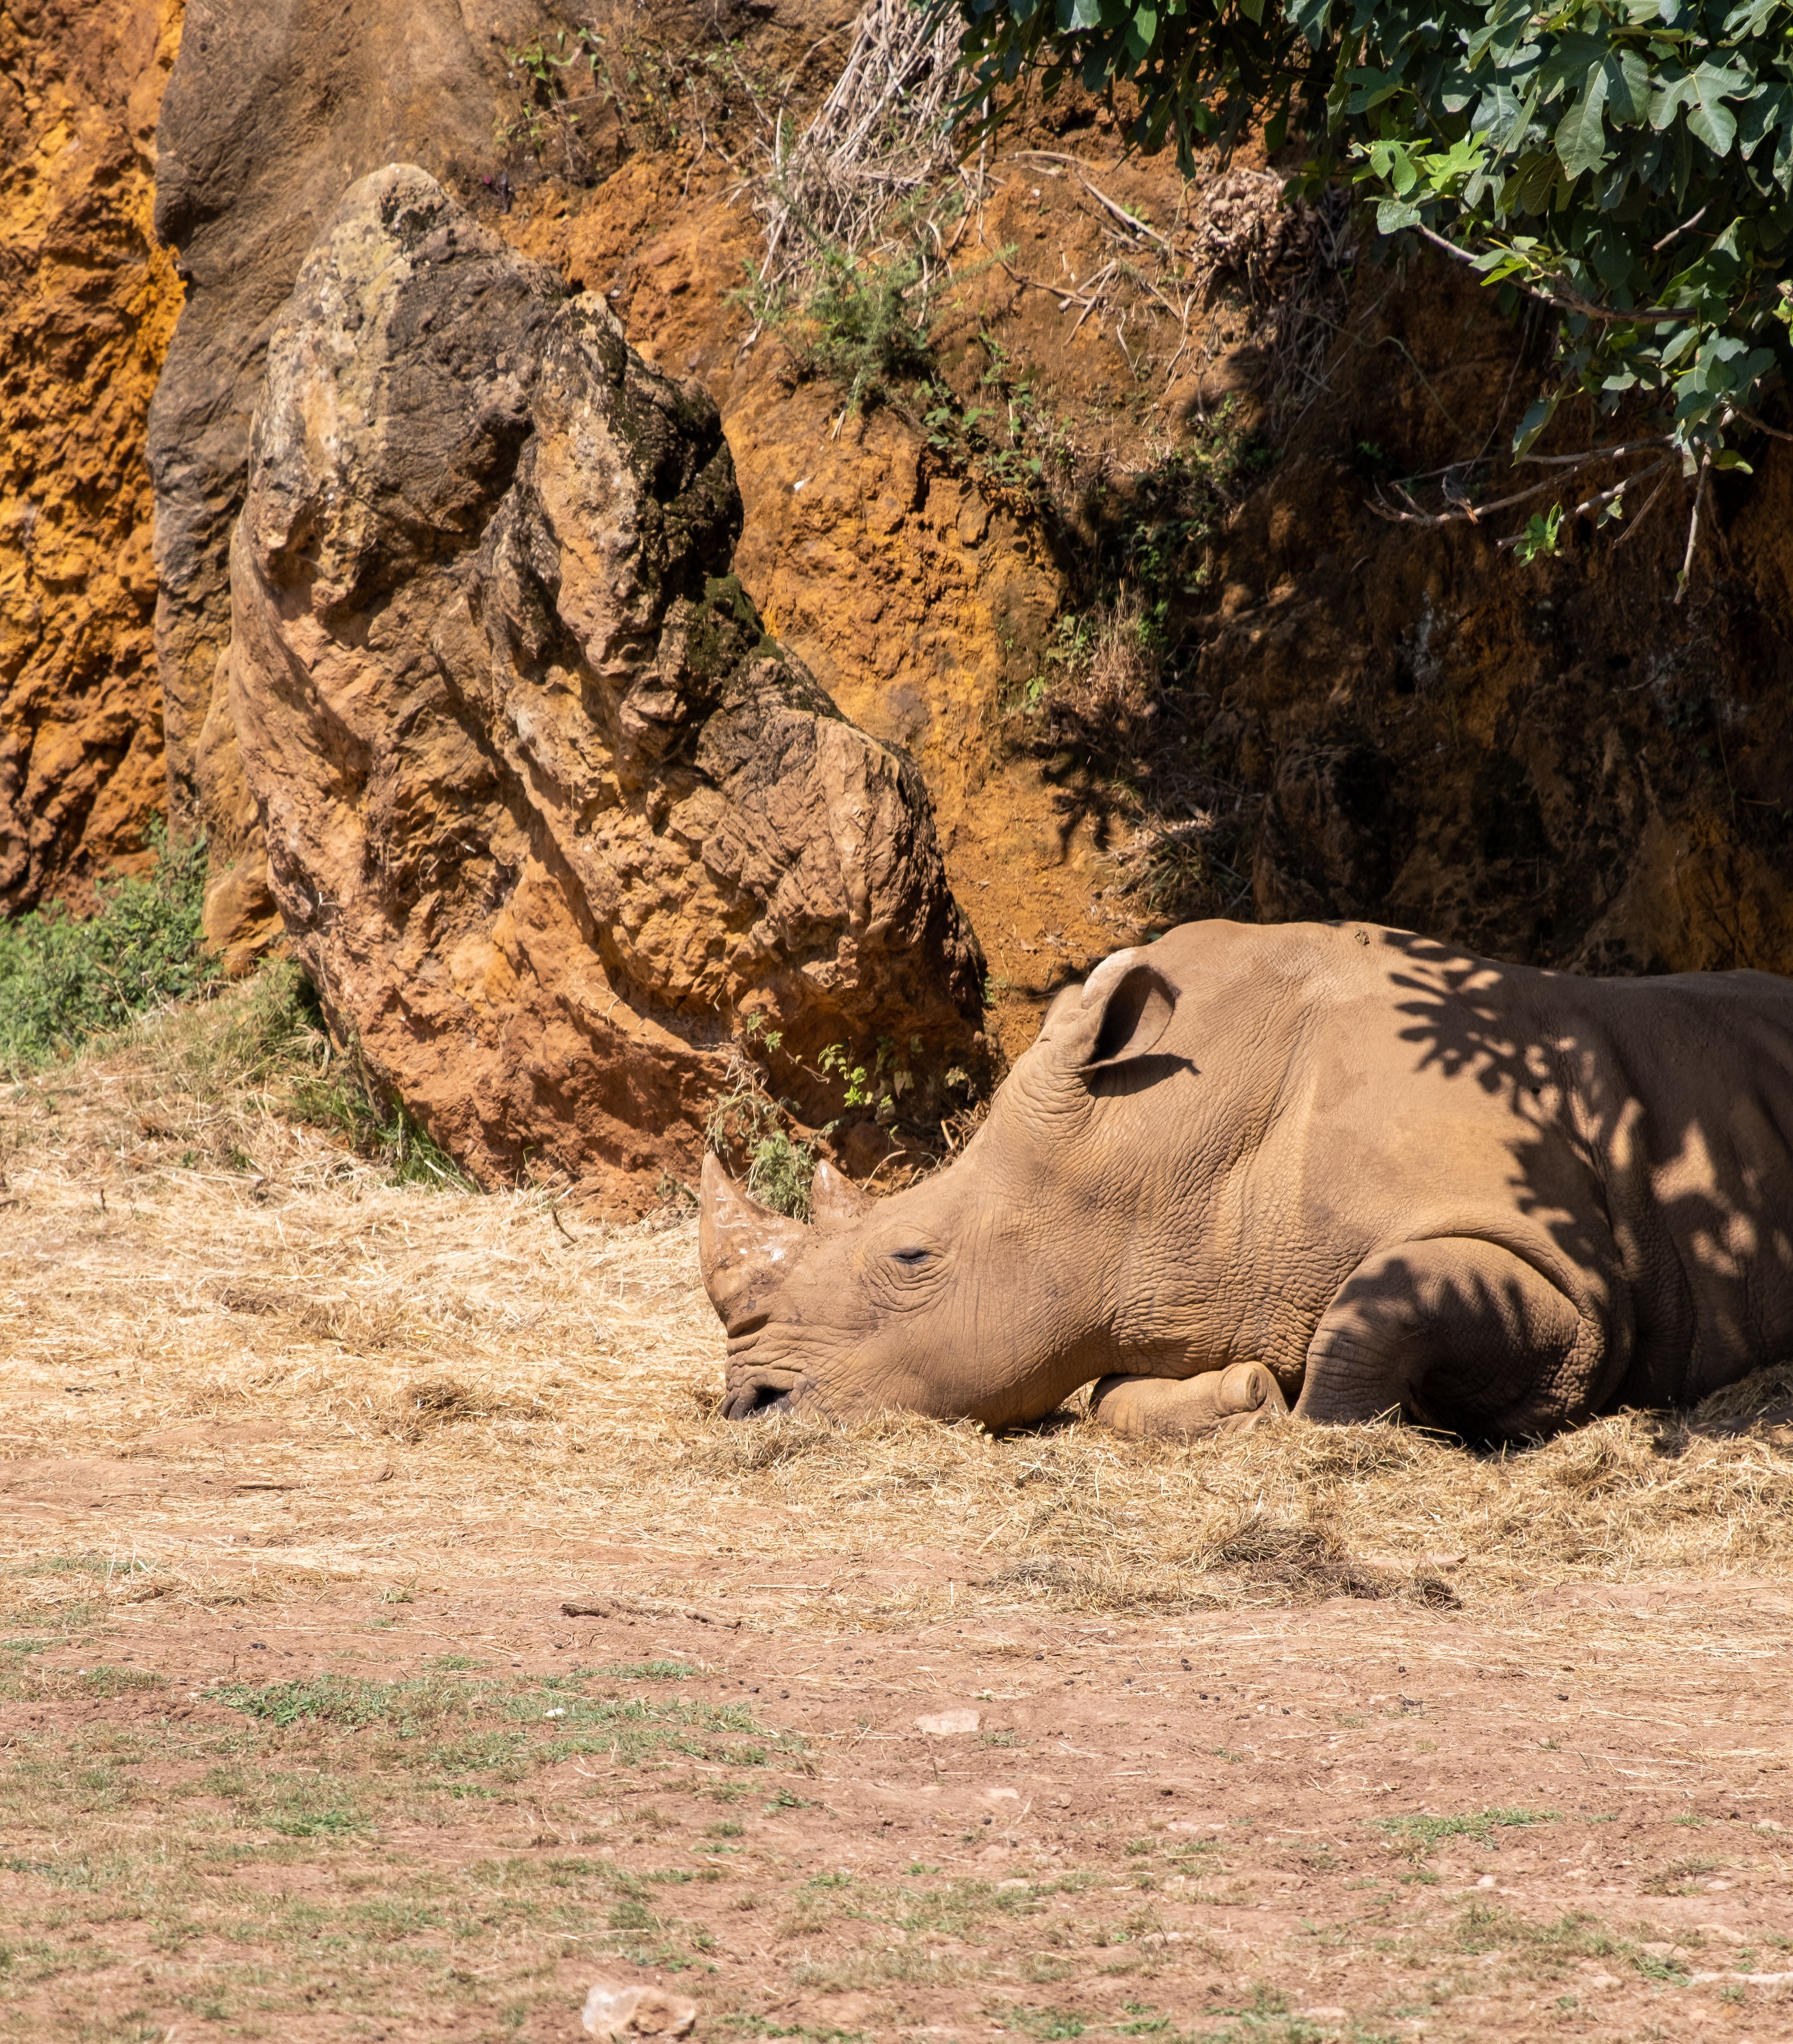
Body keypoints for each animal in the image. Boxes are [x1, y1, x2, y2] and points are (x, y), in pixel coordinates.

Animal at [699, 920, 1793, 1441]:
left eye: (911, 1255)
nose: (747, 1403)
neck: (1162, 1145)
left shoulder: (1568, 1277)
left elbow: (1381, 1307)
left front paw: (1325, 1423)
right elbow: (1106, 1392)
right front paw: (1246, 1397)